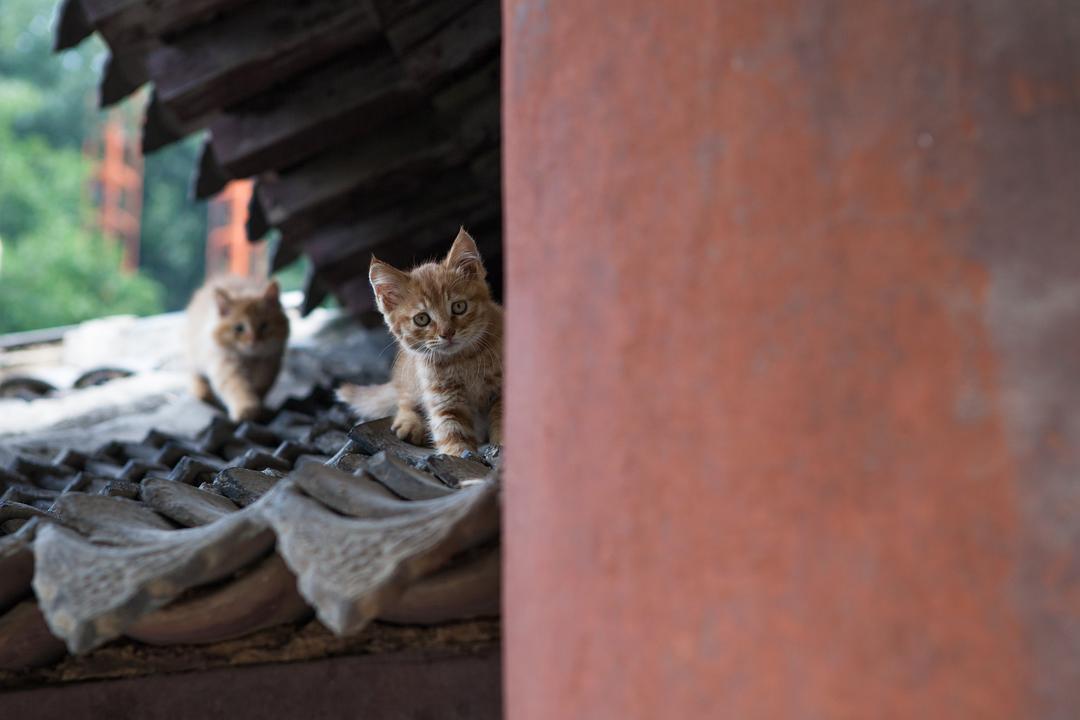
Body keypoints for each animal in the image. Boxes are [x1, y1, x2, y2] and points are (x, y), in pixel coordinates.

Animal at [185, 276, 289, 423]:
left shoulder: (270, 368)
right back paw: (202, 392)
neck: (250, 361)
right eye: (239, 328)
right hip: (195, 355)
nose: (253, 341)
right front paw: (246, 409)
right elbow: (237, 388)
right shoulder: (226, 365)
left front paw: (260, 409)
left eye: (264, 326)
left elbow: (261, 390)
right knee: (194, 374)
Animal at [336, 227, 501, 455]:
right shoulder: (443, 400)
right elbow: (451, 435)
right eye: (422, 319)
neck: (462, 360)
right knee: (403, 398)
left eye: (459, 307)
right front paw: (458, 455)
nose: (447, 333)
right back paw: (409, 422)